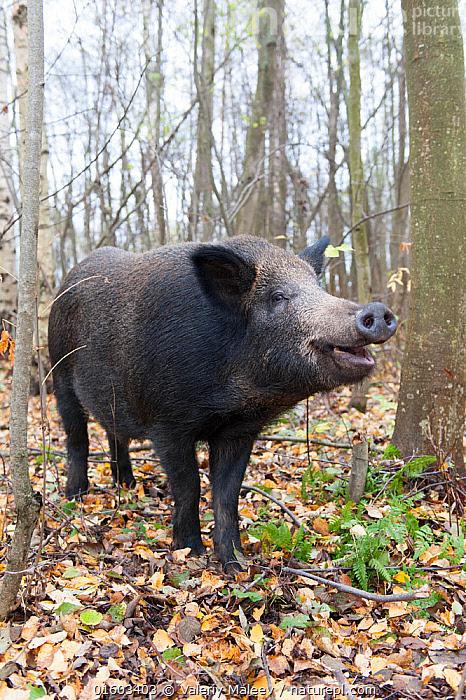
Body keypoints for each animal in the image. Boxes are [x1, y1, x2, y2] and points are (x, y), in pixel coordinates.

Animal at [48, 236, 396, 570]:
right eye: (277, 297)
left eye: (318, 288)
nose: (378, 310)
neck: (232, 398)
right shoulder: (167, 424)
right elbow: (189, 487)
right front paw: (190, 552)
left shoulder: (239, 431)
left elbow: (228, 494)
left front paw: (236, 564)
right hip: (60, 376)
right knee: (77, 438)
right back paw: (76, 496)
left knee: (114, 433)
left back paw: (128, 486)